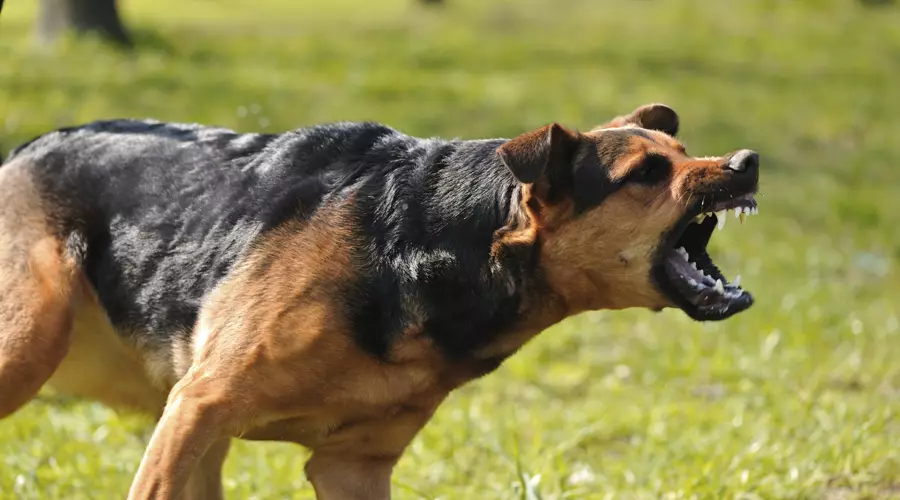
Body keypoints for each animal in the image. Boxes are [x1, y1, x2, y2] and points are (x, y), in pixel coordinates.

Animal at [0, 103, 760, 498]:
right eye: (648, 173)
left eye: (683, 149)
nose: (747, 162)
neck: (438, 242)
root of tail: (23, 149)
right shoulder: (202, 402)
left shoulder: (352, 467)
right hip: (36, 345)